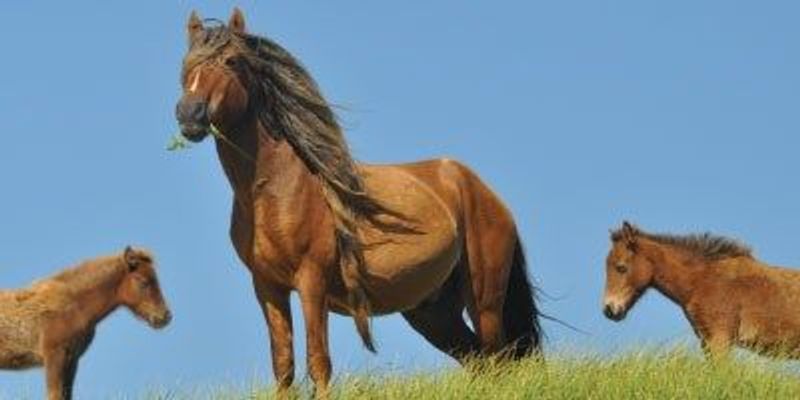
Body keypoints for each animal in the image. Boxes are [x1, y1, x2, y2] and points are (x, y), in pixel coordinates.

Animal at [0, 247, 171, 400]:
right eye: (143, 282)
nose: (165, 316)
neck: (73, 305)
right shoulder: (54, 357)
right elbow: (55, 395)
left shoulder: (72, 360)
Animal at [174, 8, 544, 396]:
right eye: (186, 66)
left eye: (230, 60)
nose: (189, 114)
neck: (275, 193)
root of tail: (484, 192)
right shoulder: (267, 286)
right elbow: (283, 364)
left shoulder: (311, 281)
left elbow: (318, 361)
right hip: (432, 312)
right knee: (478, 359)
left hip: (485, 299)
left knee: (496, 357)